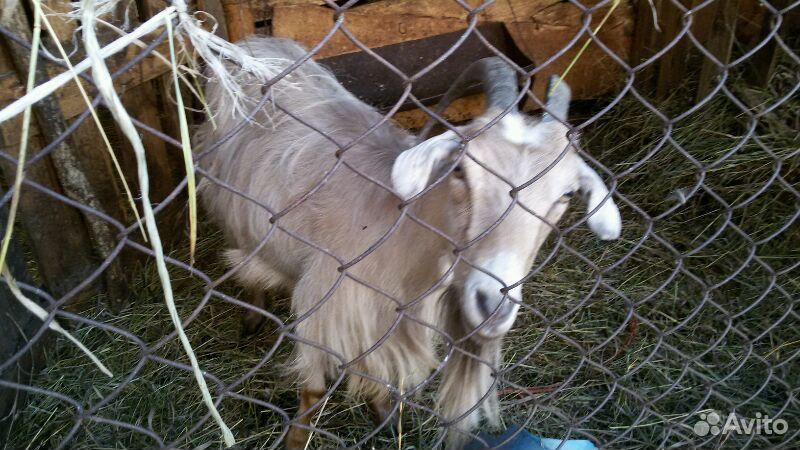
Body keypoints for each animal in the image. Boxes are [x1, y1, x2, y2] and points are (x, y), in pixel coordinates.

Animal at [195, 36, 622, 449]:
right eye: (460, 170)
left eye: (567, 194)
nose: (493, 305)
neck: (402, 227)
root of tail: (255, 42)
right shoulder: (324, 311)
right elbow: (313, 392)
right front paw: (297, 440)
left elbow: (380, 378)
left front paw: (384, 416)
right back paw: (252, 314)